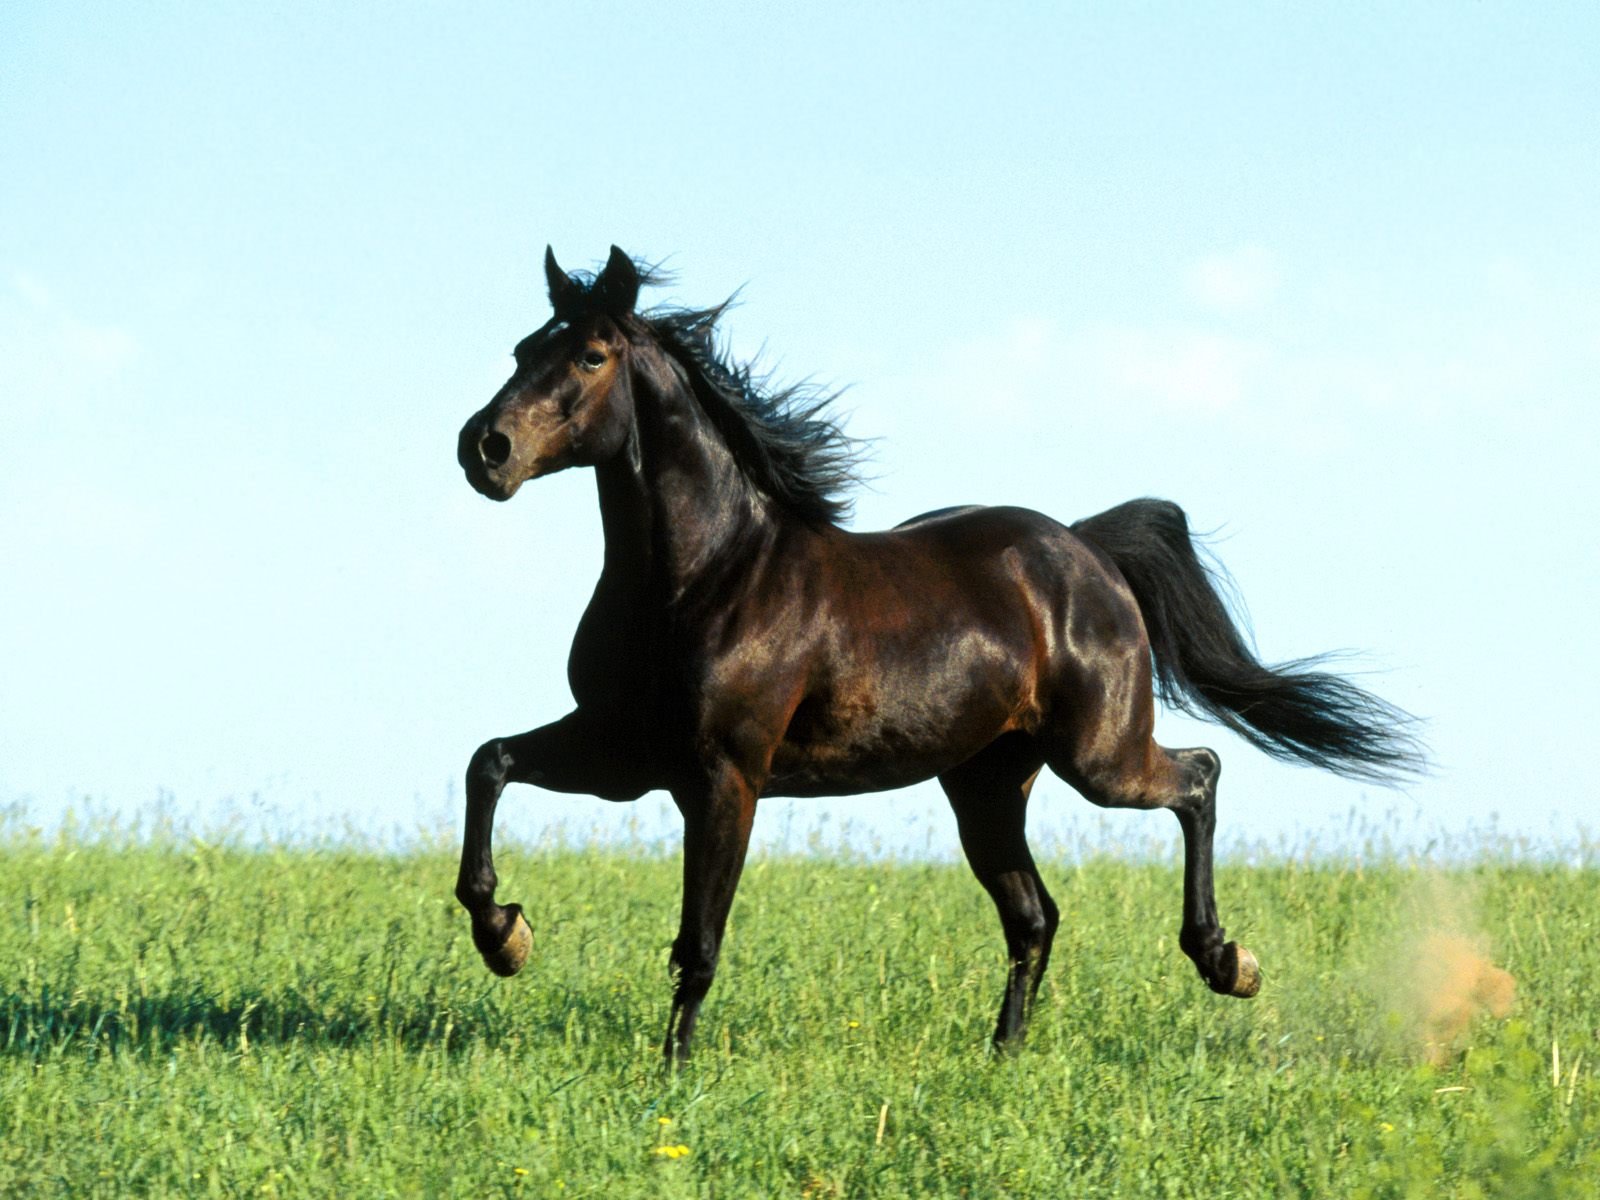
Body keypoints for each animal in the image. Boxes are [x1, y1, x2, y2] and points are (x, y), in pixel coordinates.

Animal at [454, 246, 1423, 1062]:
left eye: (589, 357)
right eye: (522, 348)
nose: (484, 449)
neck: (705, 578)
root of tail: (1086, 549)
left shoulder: (722, 775)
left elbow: (699, 939)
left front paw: (673, 1073)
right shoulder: (625, 751)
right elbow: (489, 763)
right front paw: (506, 936)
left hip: (1099, 759)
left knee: (1198, 776)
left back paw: (1226, 962)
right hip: (987, 782)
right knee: (1035, 916)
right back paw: (1004, 1054)